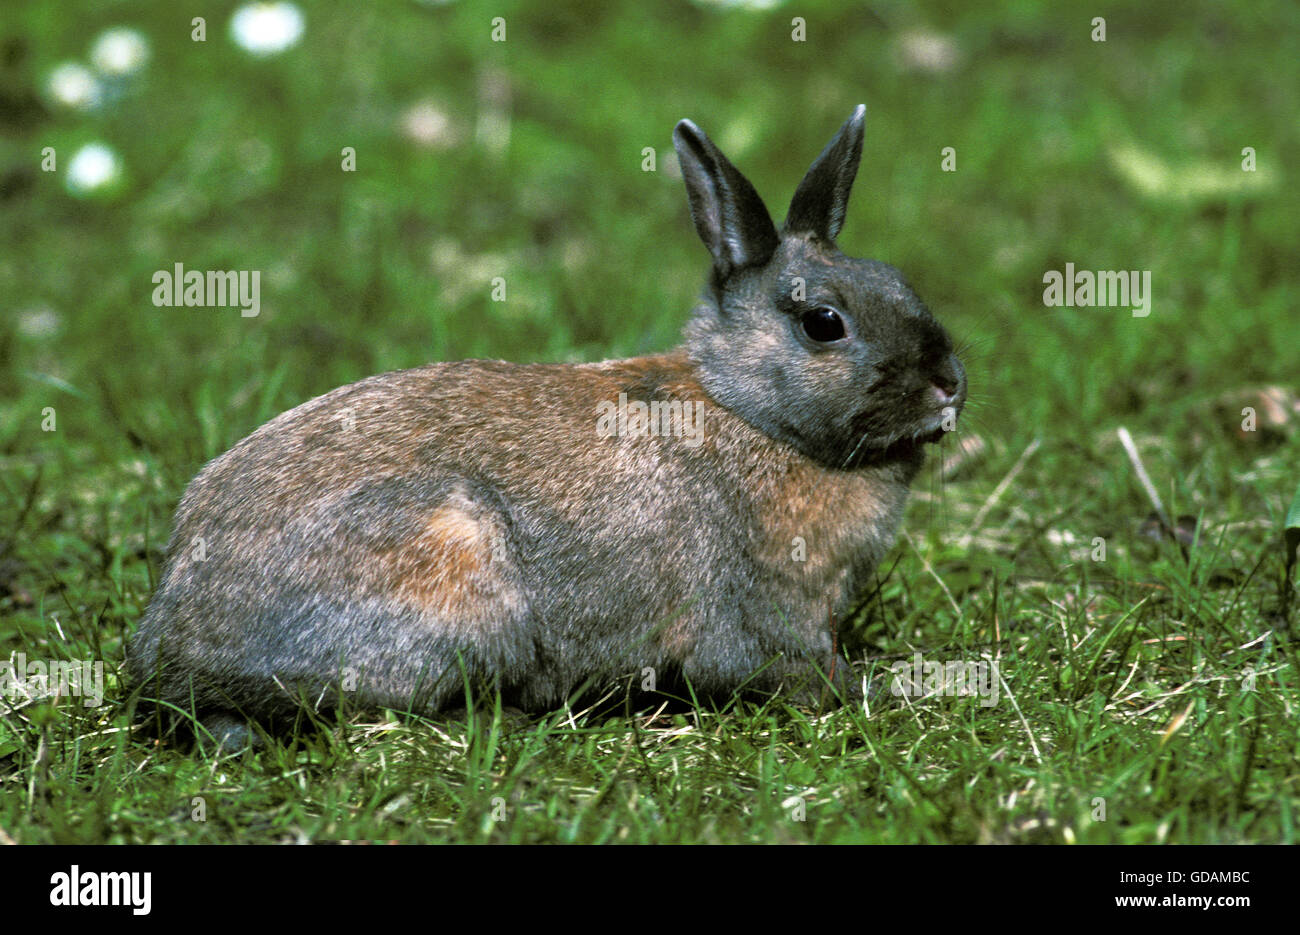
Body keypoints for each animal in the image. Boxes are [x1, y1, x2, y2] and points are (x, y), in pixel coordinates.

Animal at [127, 105, 966, 745]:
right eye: (824, 323)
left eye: (899, 280)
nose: (949, 384)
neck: (749, 410)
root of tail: (170, 651)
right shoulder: (769, 609)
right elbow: (798, 667)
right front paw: (887, 687)